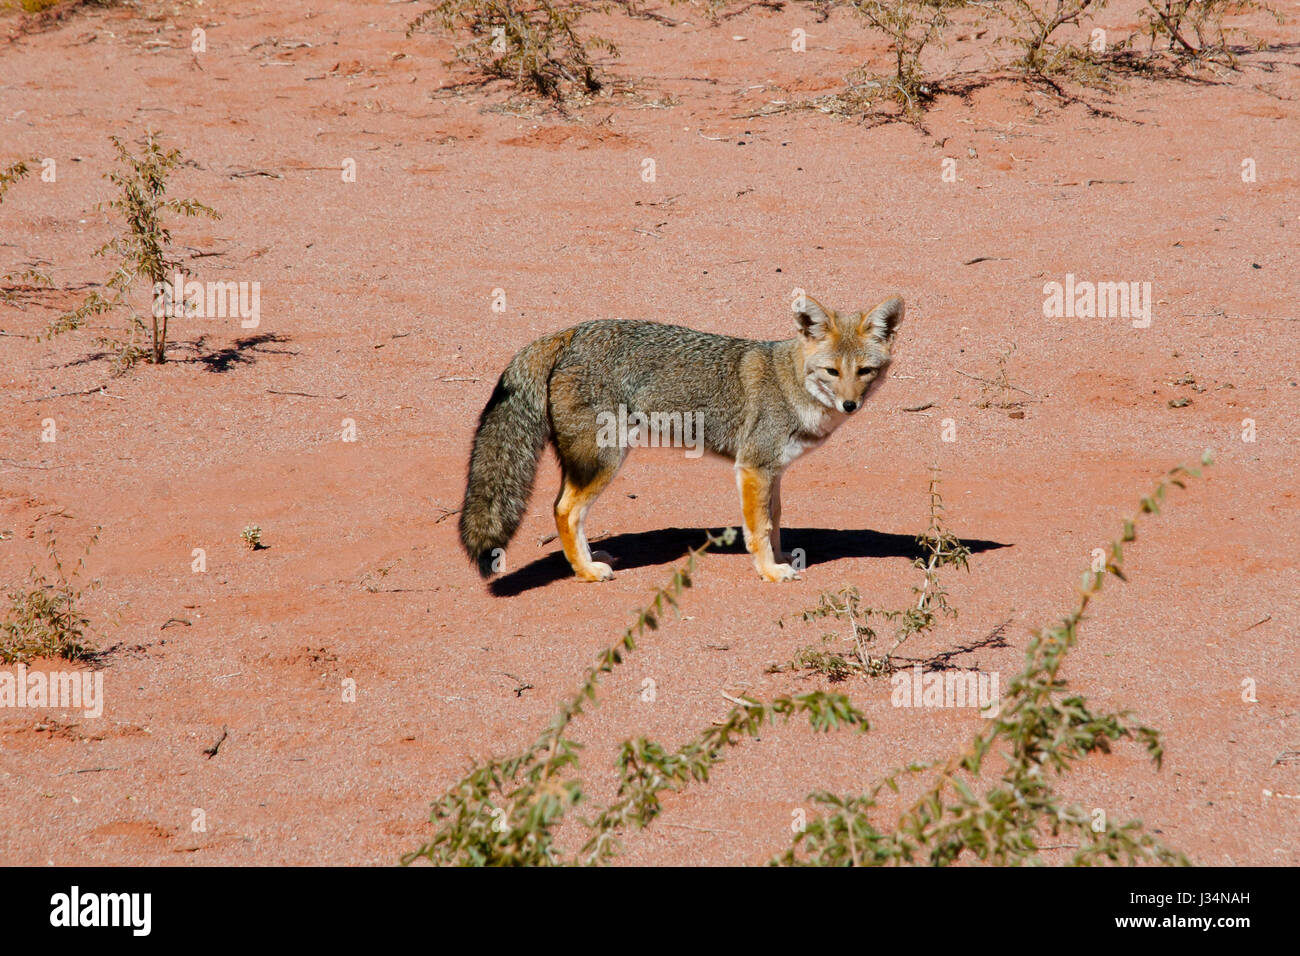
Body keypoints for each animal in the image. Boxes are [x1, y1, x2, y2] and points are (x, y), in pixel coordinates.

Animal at [458, 294, 904, 583]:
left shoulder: (772, 471)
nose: (850, 405)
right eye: (832, 372)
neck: (790, 381)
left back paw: (587, 557)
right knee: (564, 510)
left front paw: (781, 558)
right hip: (606, 458)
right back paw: (586, 571)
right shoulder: (753, 467)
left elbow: (774, 520)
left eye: (865, 371)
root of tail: (568, 332)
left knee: (568, 511)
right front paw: (769, 571)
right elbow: (758, 528)